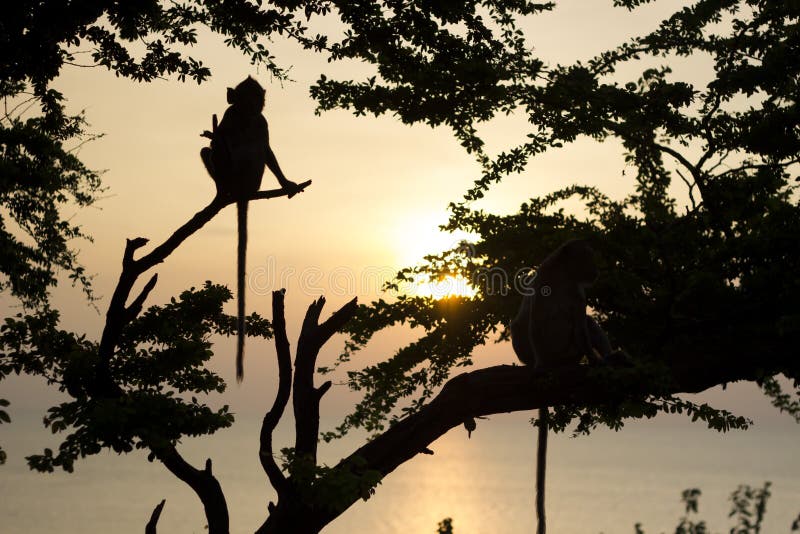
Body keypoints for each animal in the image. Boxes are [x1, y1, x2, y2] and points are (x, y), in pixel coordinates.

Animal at [200, 76, 301, 382]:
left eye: (256, 96)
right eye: (248, 96)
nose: (255, 104)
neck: (245, 117)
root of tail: (244, 191)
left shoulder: (259, 120)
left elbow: (265, 148)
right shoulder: (237, 115)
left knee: (214, 152)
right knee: (211, 150)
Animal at [510, 239, 616, 534]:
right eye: (588, 258)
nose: (596, 270)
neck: (563, 274)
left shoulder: (577, 291)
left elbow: (580, 319)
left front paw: (597, 358)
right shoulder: (545, 282)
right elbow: (537, 318)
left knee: (585, 324)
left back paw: (608, 358)